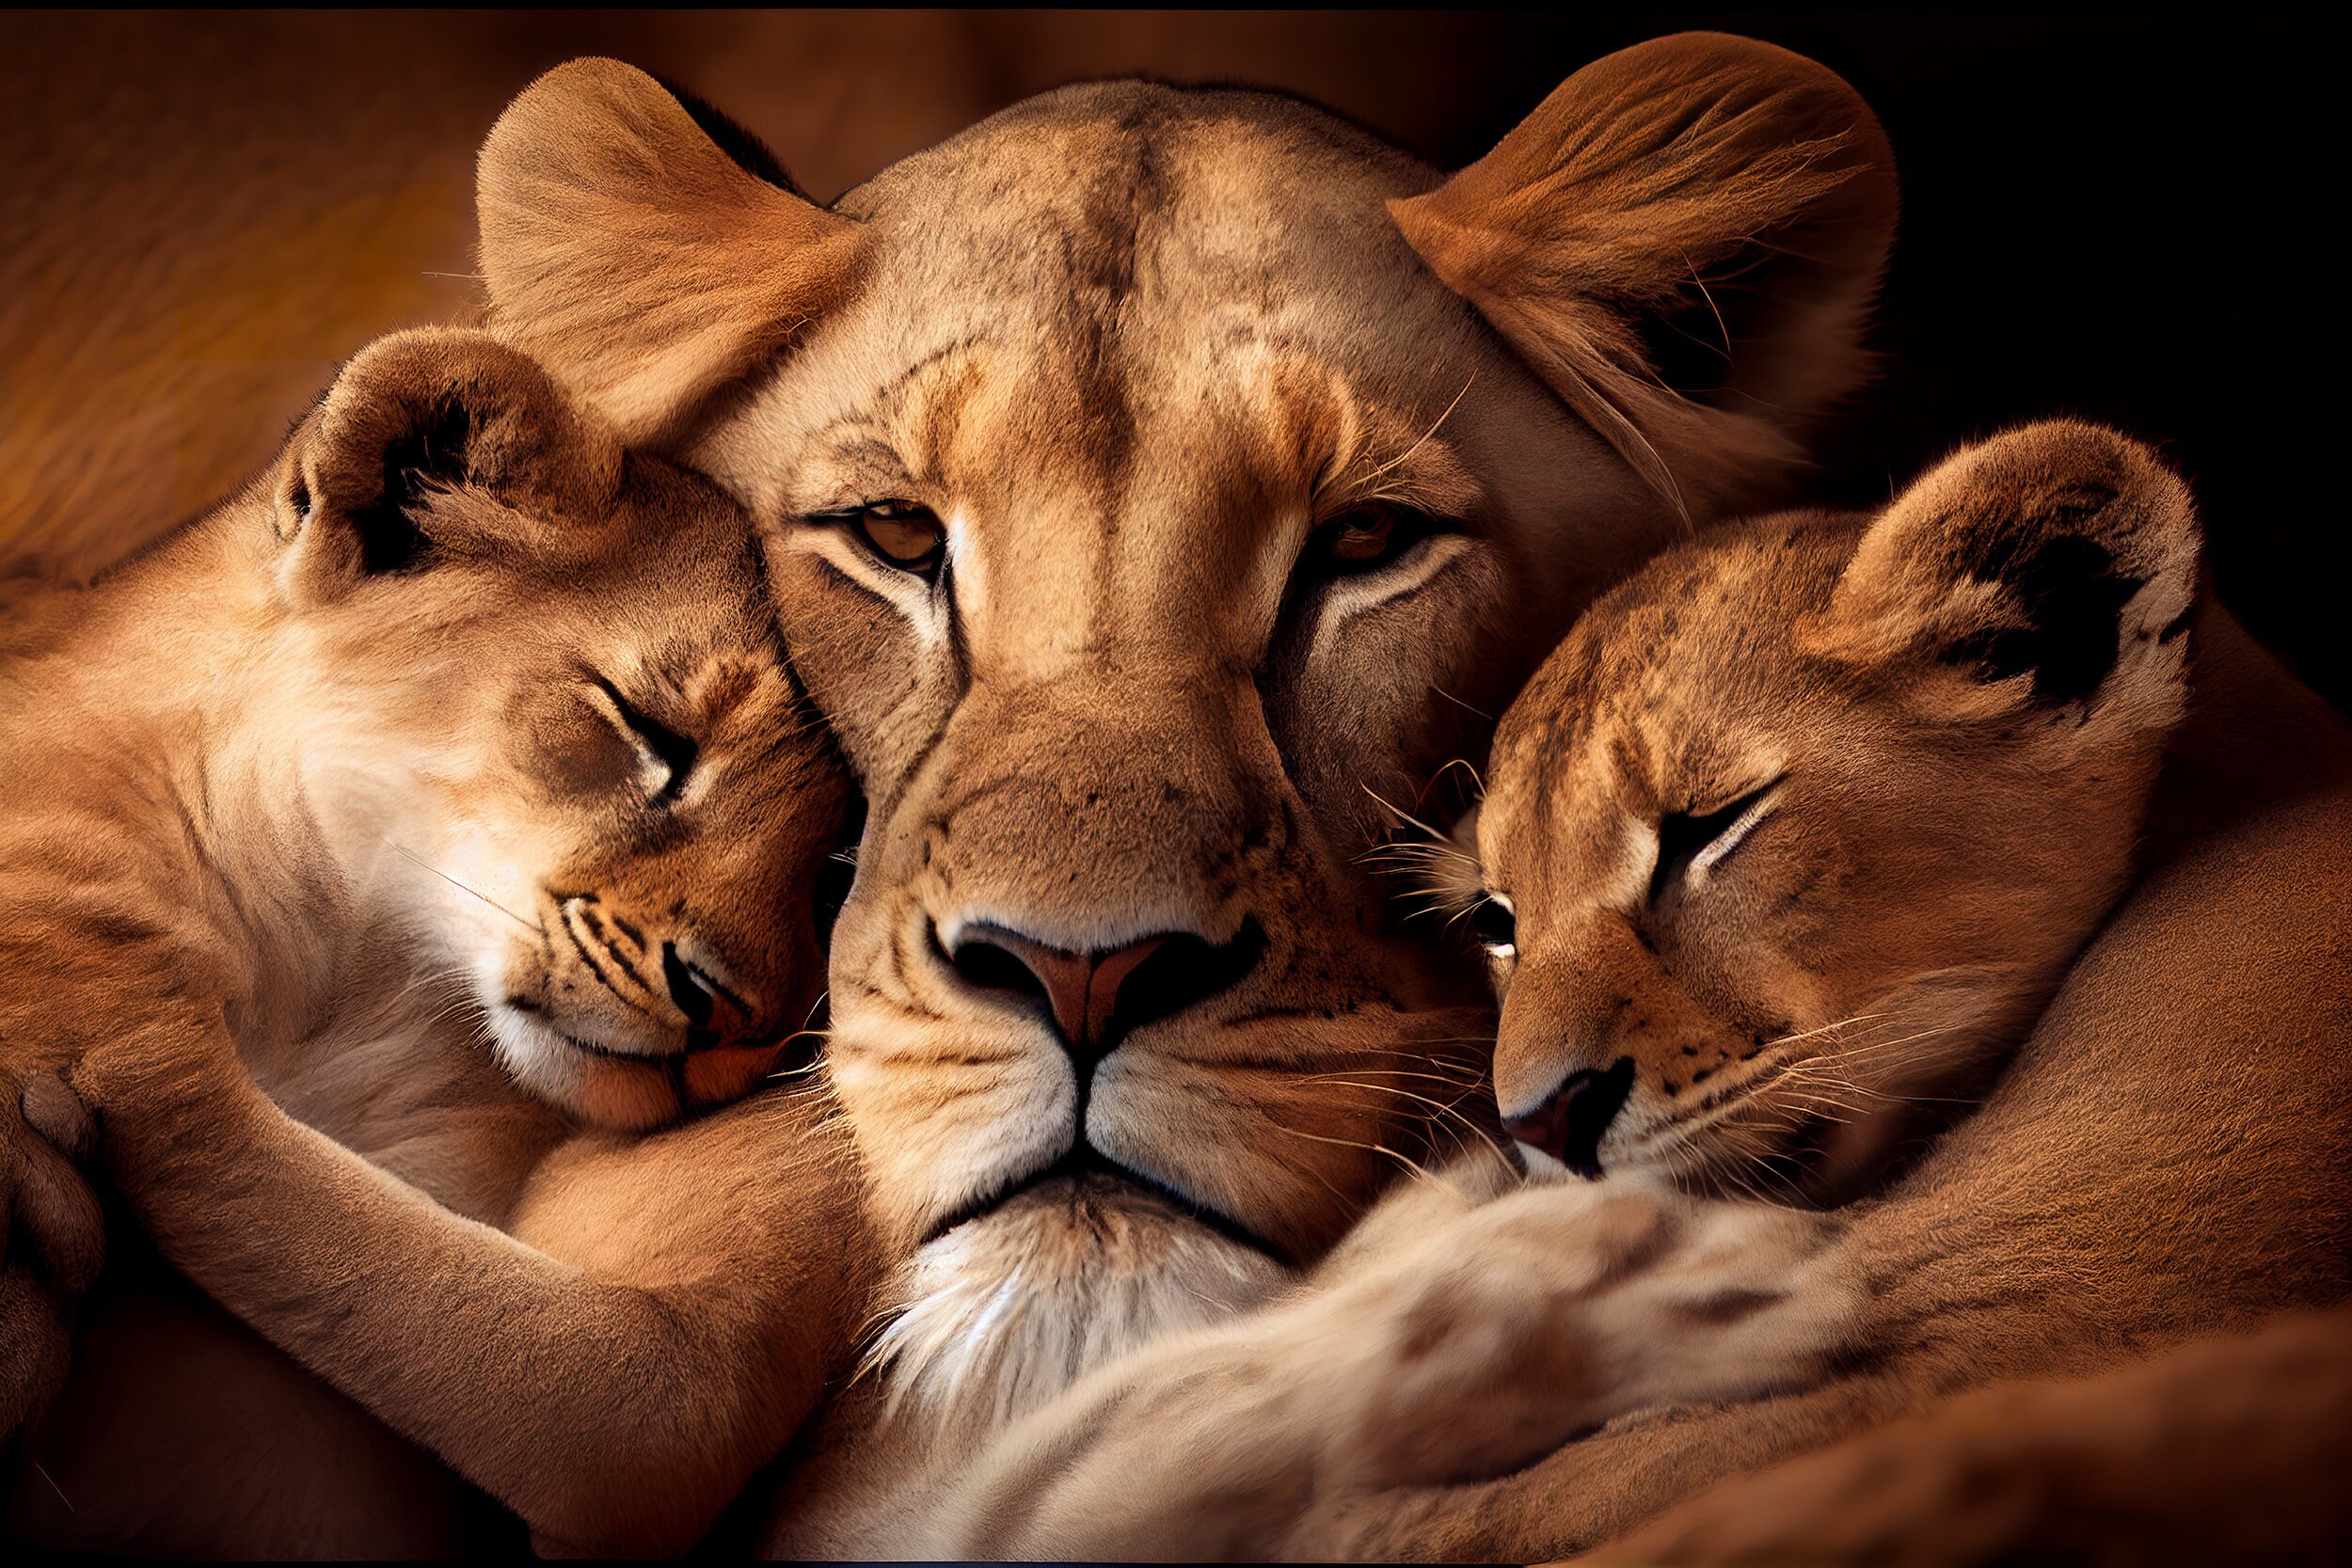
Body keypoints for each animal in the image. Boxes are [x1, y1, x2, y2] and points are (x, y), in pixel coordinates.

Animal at [0, 327, 873, 1556]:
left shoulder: (665, 1378)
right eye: (651, 731)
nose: (729, 1012)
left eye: (834, 867)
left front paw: (80, 975)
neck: (329, 976)